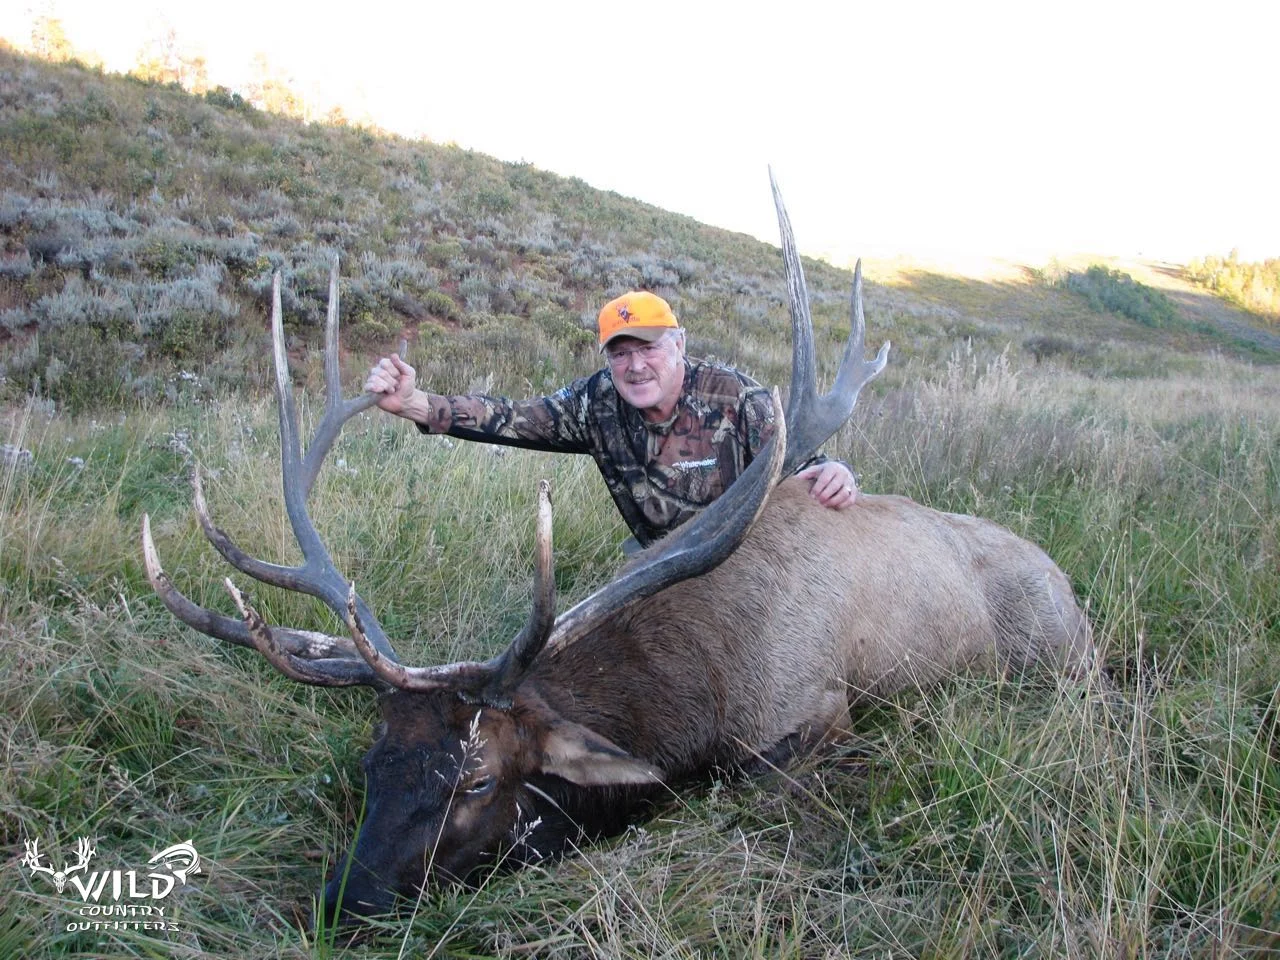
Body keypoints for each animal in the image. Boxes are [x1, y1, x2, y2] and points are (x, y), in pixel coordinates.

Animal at [141, 176, 1096, 921]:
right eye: (373, 761)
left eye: (476, 780)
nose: (346, 902)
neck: (697, 692)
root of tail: (1065, 578)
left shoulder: (815, 714)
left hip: (1061, 662)